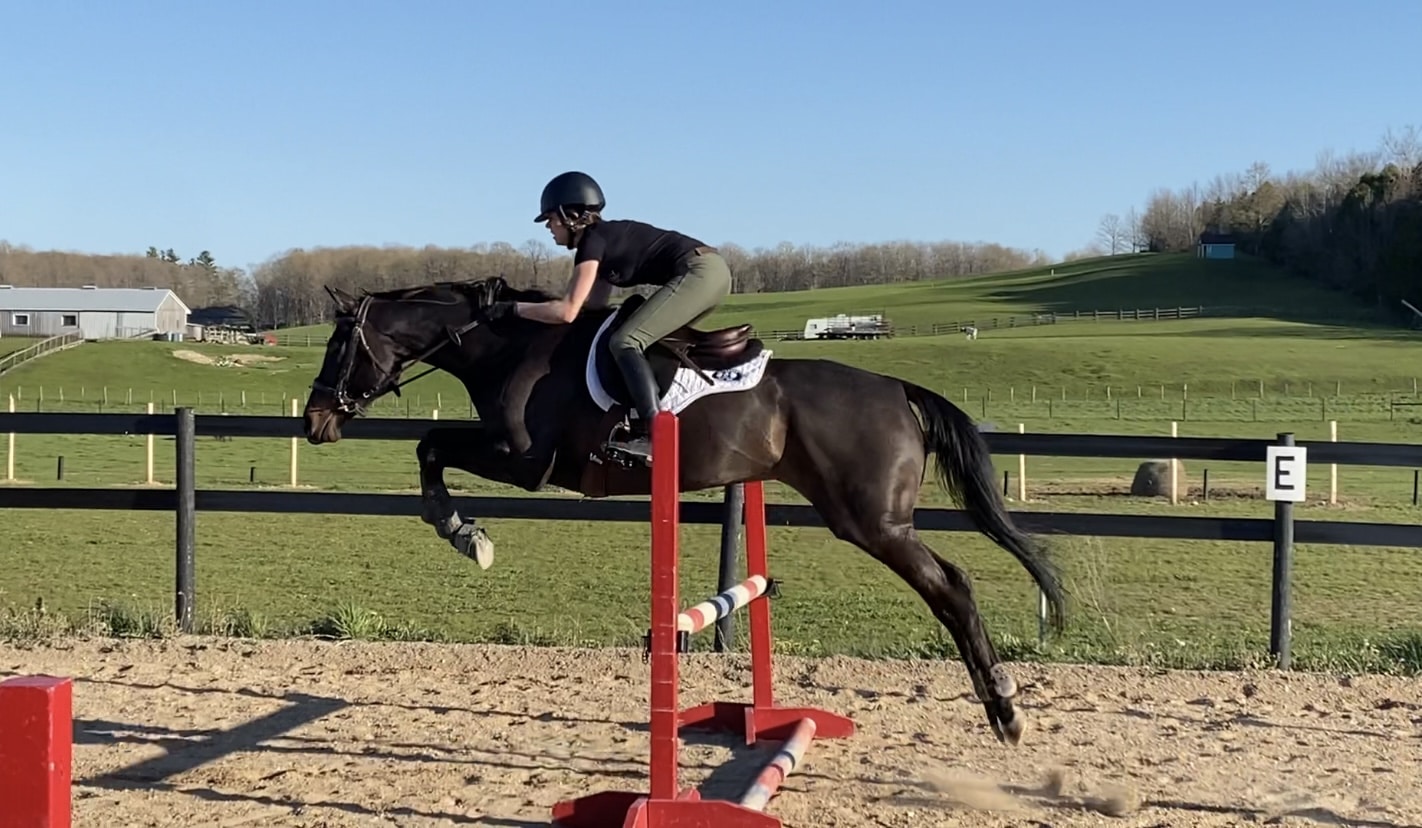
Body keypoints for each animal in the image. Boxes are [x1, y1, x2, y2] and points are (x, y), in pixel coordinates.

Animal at [301, 275, 1067, 746]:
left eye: (339, 345)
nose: (314, 421)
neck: (511, 347)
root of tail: (896, 387)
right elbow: (431, 447)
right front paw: (463, 531)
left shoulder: (523, 460)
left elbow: (430, 446)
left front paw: (464, 534)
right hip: (871, 520)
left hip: (872, 523)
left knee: (952, 587)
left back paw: (1004, 708)